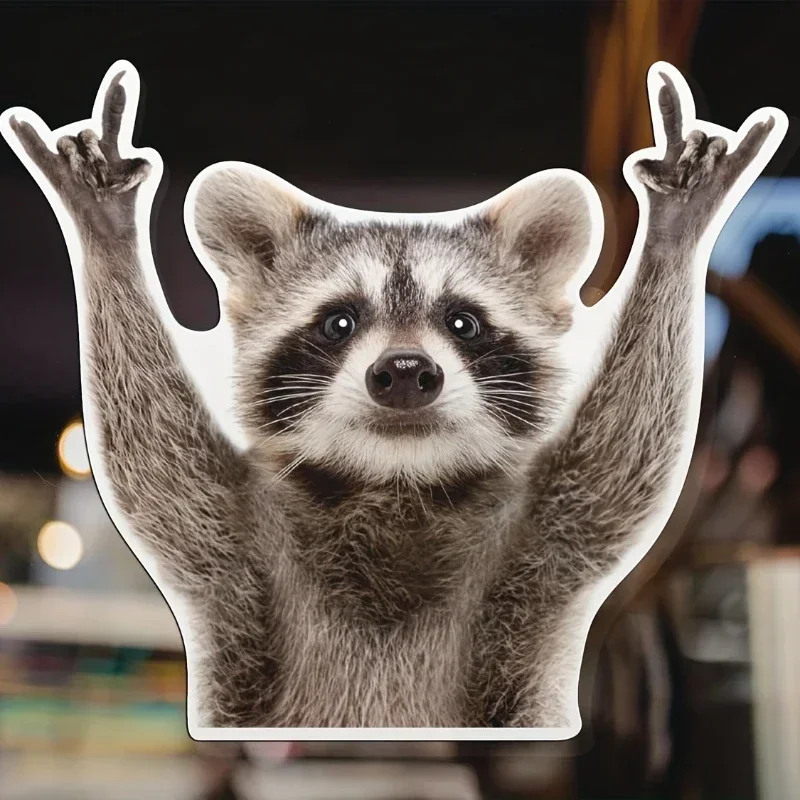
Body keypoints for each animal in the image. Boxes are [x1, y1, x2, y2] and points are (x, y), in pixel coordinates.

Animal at [1, 63, 783, 730]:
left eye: (462, 322)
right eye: (340, 322)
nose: (405, 371)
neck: (396, 482)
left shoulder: (540, 548)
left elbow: (622, 463)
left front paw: (674, 234)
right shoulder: (238, 547)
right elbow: (155, 462)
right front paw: (105, 234)